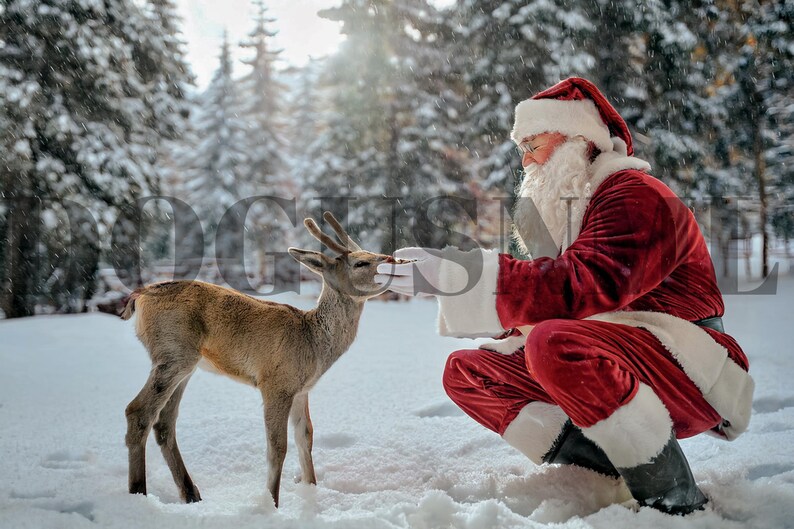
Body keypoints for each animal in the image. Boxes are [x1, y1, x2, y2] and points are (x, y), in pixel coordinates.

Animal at [121, 212, 396, 508]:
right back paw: (138, 494)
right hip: (174, 351)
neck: (313, 342)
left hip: (185, 363)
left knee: (164, 422)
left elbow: (305, 436)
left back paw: (191, 494)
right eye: (361, 262)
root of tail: (139, 297)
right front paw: (272, 503)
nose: (391, 260)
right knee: (138, 411)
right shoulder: (276, 382)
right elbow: (277, 446)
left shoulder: (302, 389)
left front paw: (311, 490)